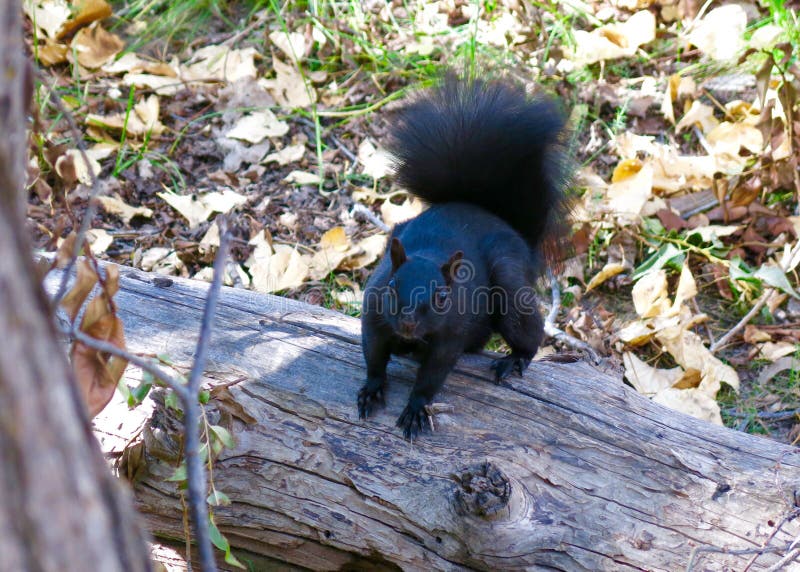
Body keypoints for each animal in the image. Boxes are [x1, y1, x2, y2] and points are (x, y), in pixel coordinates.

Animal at [357, 75, 569, 439]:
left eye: (443, 297)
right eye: (392, 286)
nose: (409, 322)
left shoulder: (449, 335)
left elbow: (433, 374)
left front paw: (417, 408)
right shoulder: (374, 314)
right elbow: (373, 355)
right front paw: (372, 388)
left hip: (509, 285)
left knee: (528, 334)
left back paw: (514, 359)